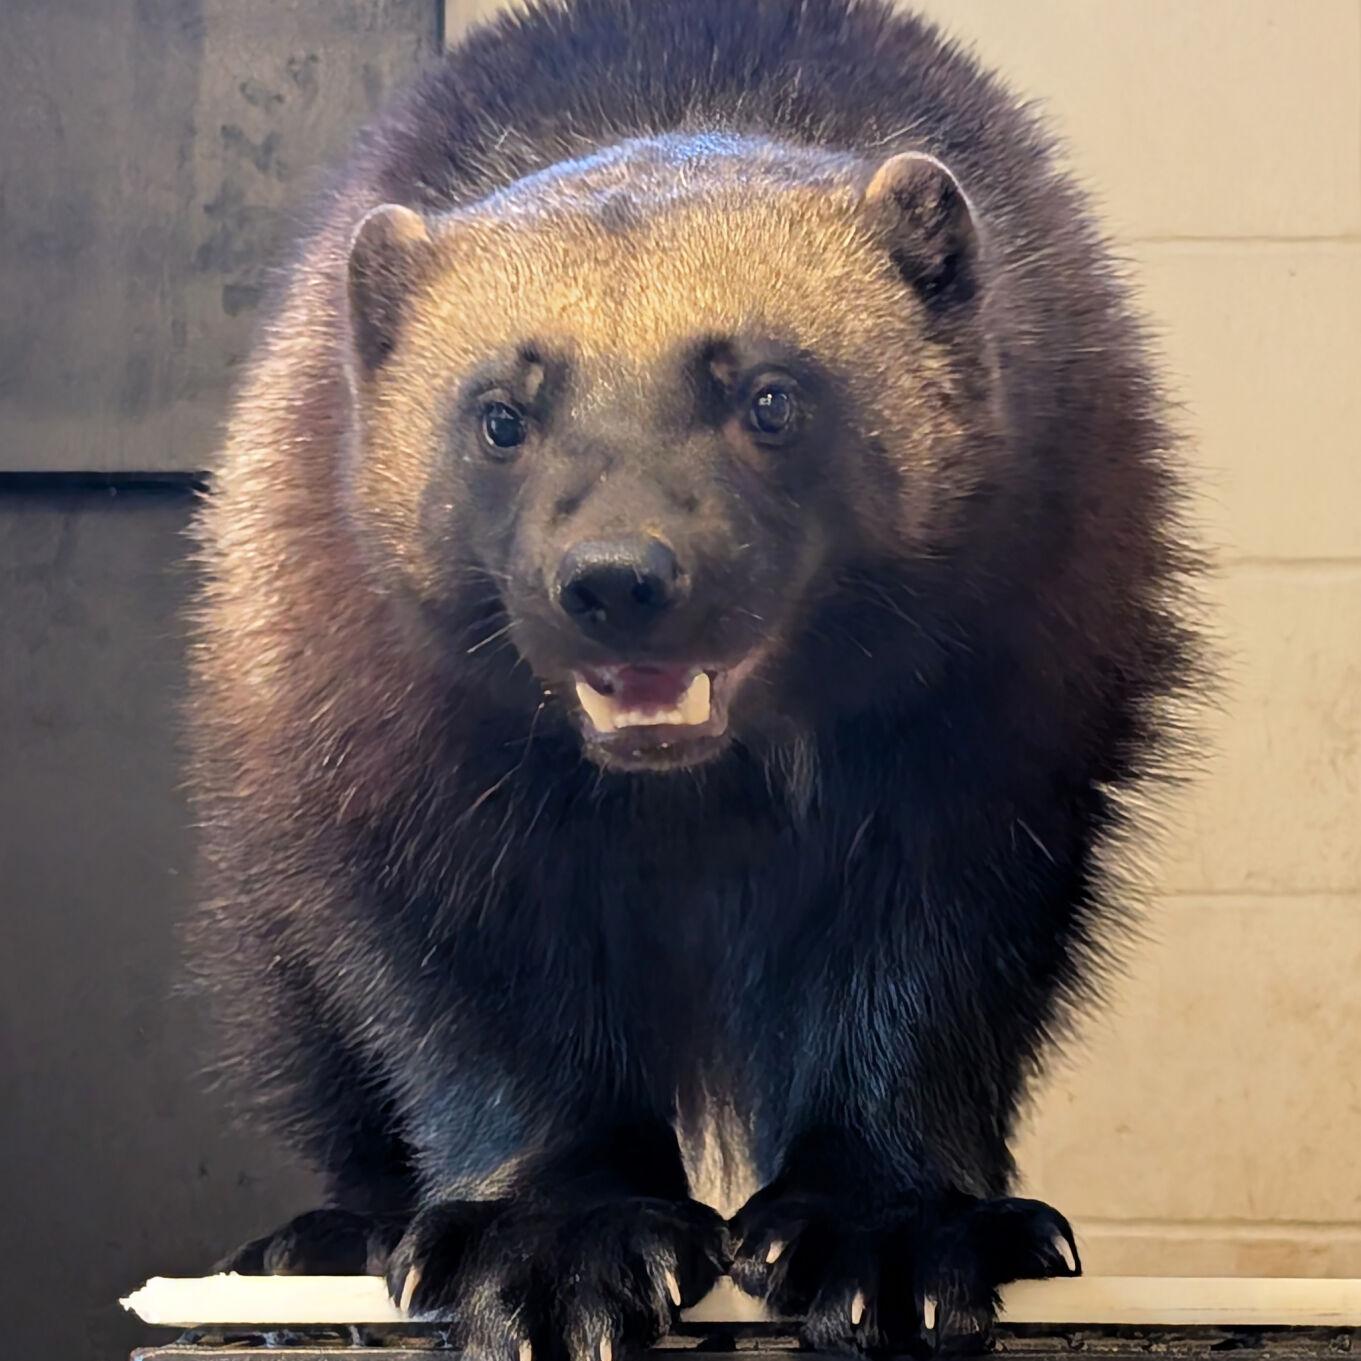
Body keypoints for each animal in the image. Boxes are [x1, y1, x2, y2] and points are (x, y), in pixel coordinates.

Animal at [188, 0, 1201, 1356]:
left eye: (770, 395)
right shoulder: (387, 761)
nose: (616, 575)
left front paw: (887, 1232)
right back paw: (325, 1234)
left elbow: (922, 991)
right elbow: (483, 1001)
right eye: (499, 413)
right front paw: (549, 1240)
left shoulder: (997, 750)